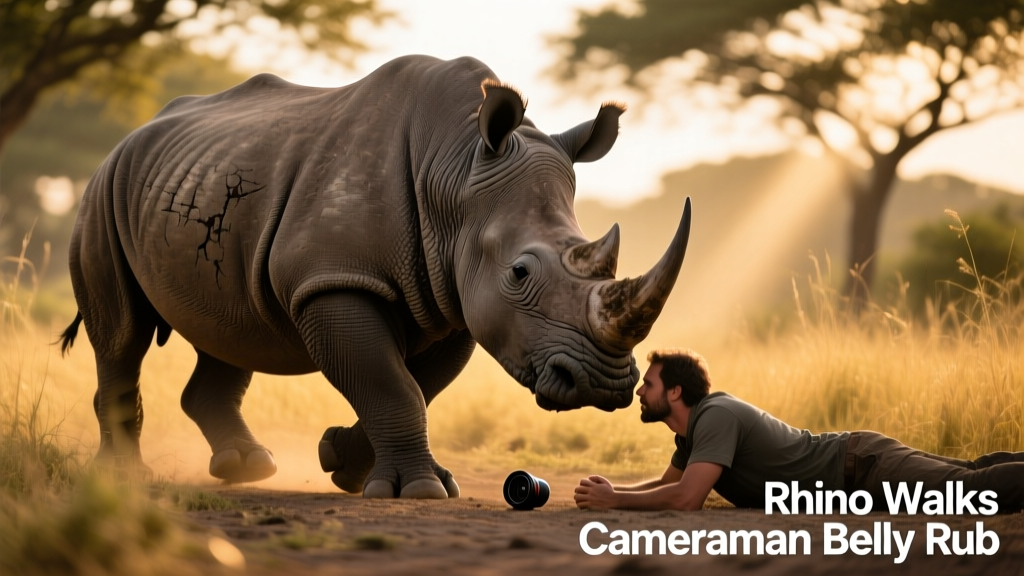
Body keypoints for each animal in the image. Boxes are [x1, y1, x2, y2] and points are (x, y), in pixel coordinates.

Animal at [59, 55, 692, 499]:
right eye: (519, 272)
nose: (605, 385)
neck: (456, 168)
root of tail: (134, 134)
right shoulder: (334, 280)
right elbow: (391, 383)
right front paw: (416, 489)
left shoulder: (453, 298)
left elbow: (417, 385)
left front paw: (343, 461)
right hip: (103, 192)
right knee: (122, 334)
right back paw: (125, 479)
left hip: (198, 181)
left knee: (229, 327)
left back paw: (247, 469)